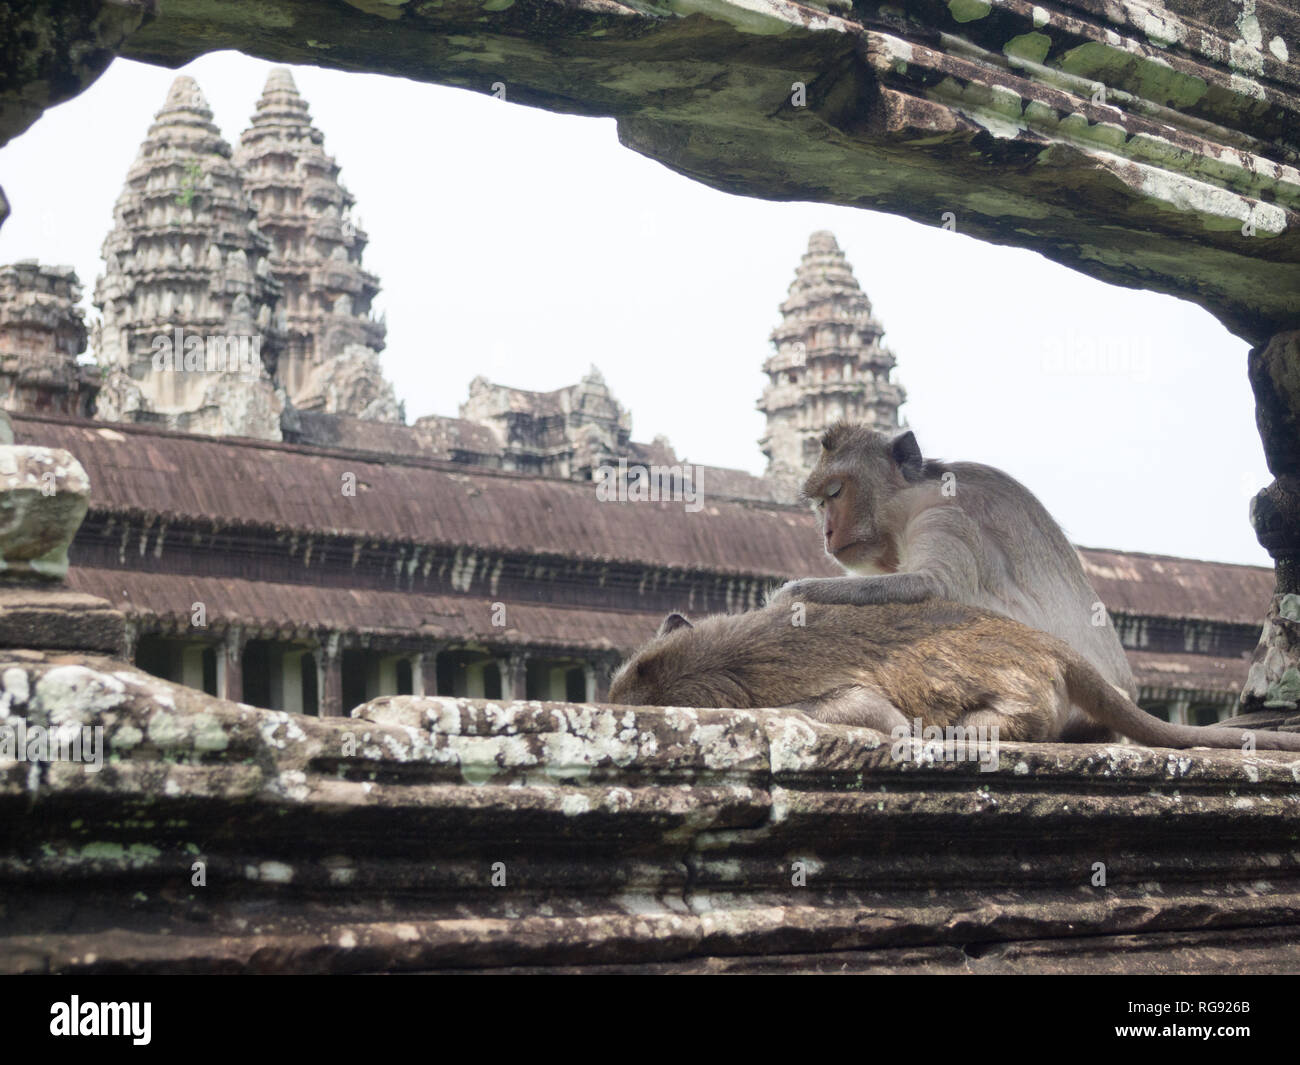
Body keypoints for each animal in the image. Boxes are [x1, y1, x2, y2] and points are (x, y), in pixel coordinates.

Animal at [768, 422, 1134, 742]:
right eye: (820, 503)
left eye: (835, 492)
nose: (827, 532)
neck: (906, 504)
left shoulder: (944, 514)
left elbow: (932, 586)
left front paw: (790, 596)